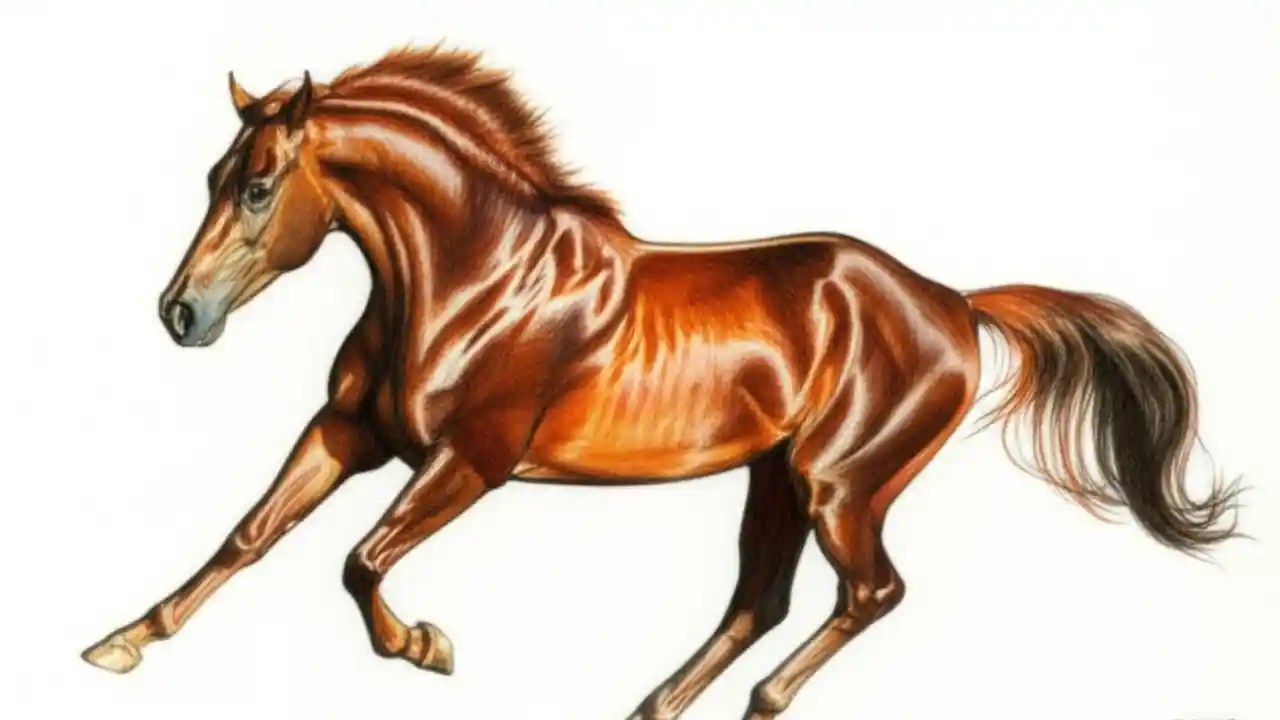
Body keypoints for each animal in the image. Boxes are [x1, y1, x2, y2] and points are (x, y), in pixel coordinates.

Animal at [82, 47, 1239, 719]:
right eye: (212, 178)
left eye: (258, 186)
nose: (179, 315)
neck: (472, 275)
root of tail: (952, 302)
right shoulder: (346, 433)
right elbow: (248, 535)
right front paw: (120, 643)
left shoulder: (470, 463)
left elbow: (358, 562)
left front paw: (426, 649)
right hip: (773, 480)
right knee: (759, 599)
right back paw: (652, 707)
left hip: (840, 486)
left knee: (867, 593)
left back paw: (759, 702)